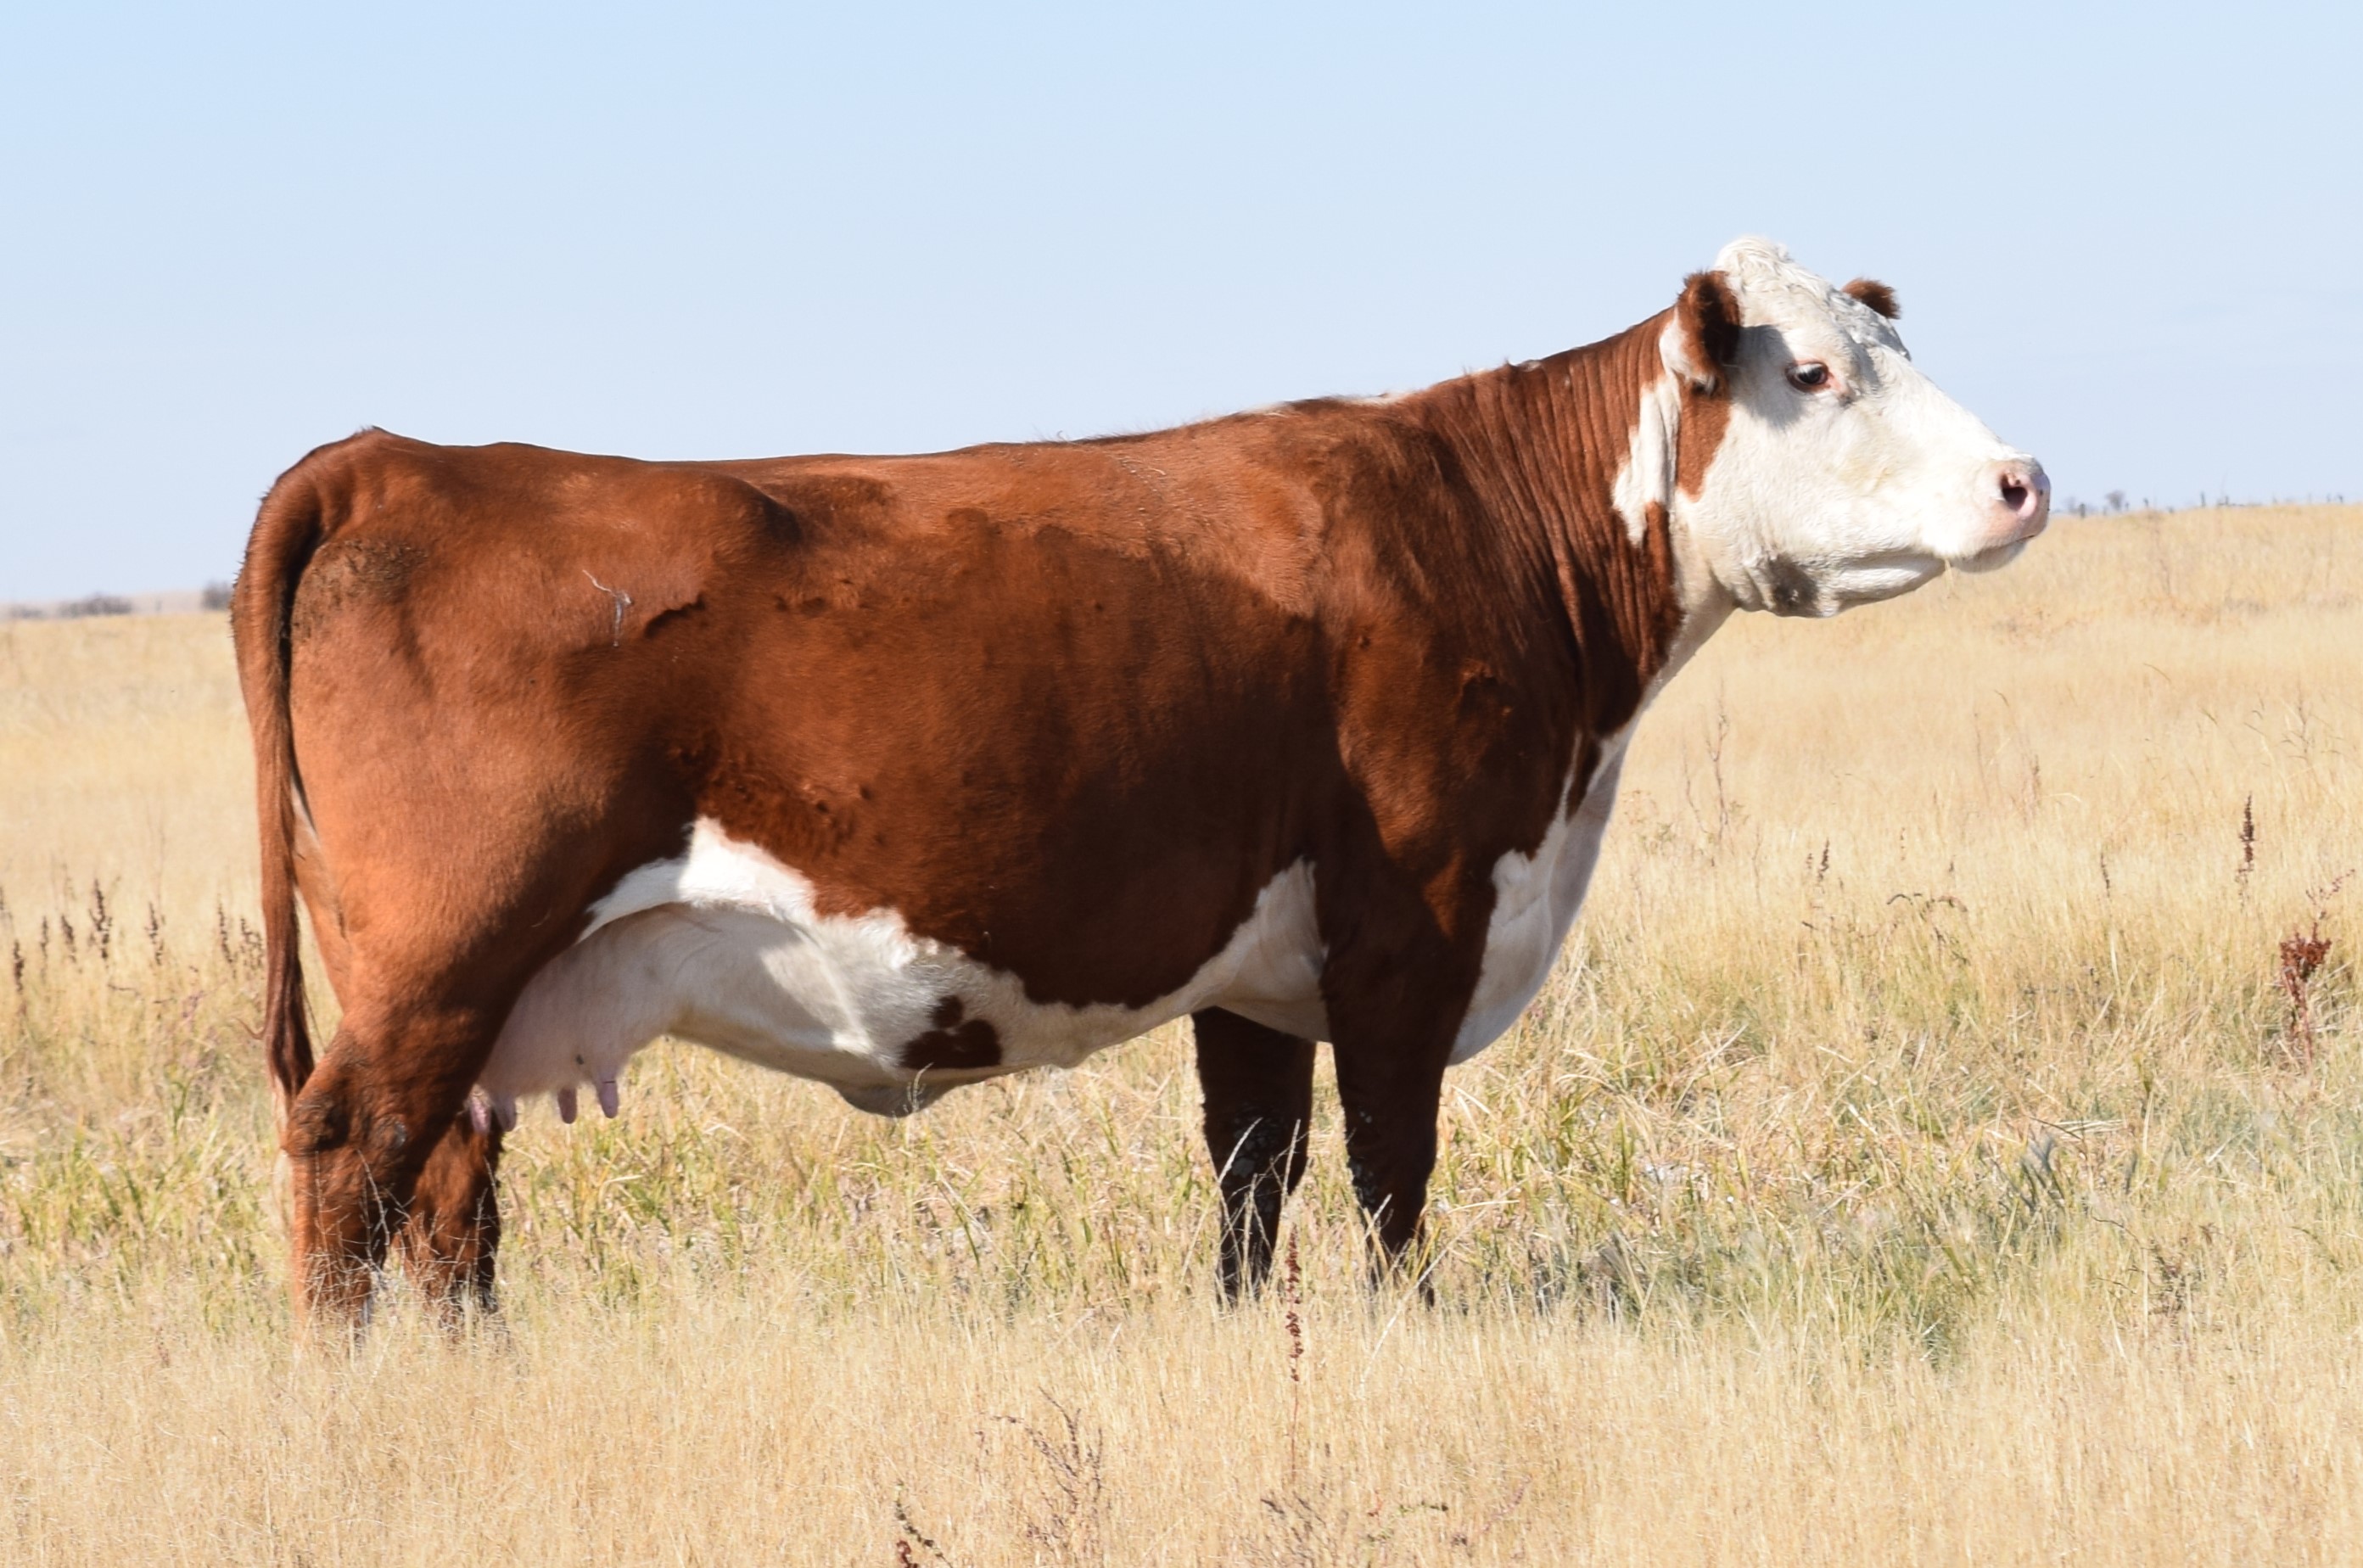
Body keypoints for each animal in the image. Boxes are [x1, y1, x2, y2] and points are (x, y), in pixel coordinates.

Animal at [232, 237, 2047, 1332]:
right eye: (1813, 373)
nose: (2024, 479)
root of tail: (402, 457)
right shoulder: (1415, 920)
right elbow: (1392, 1175)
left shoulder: (1259, 965)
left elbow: (1253, 1181)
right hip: (449, 953)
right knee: (350, 1154)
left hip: (471, 987)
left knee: (443, 1197)